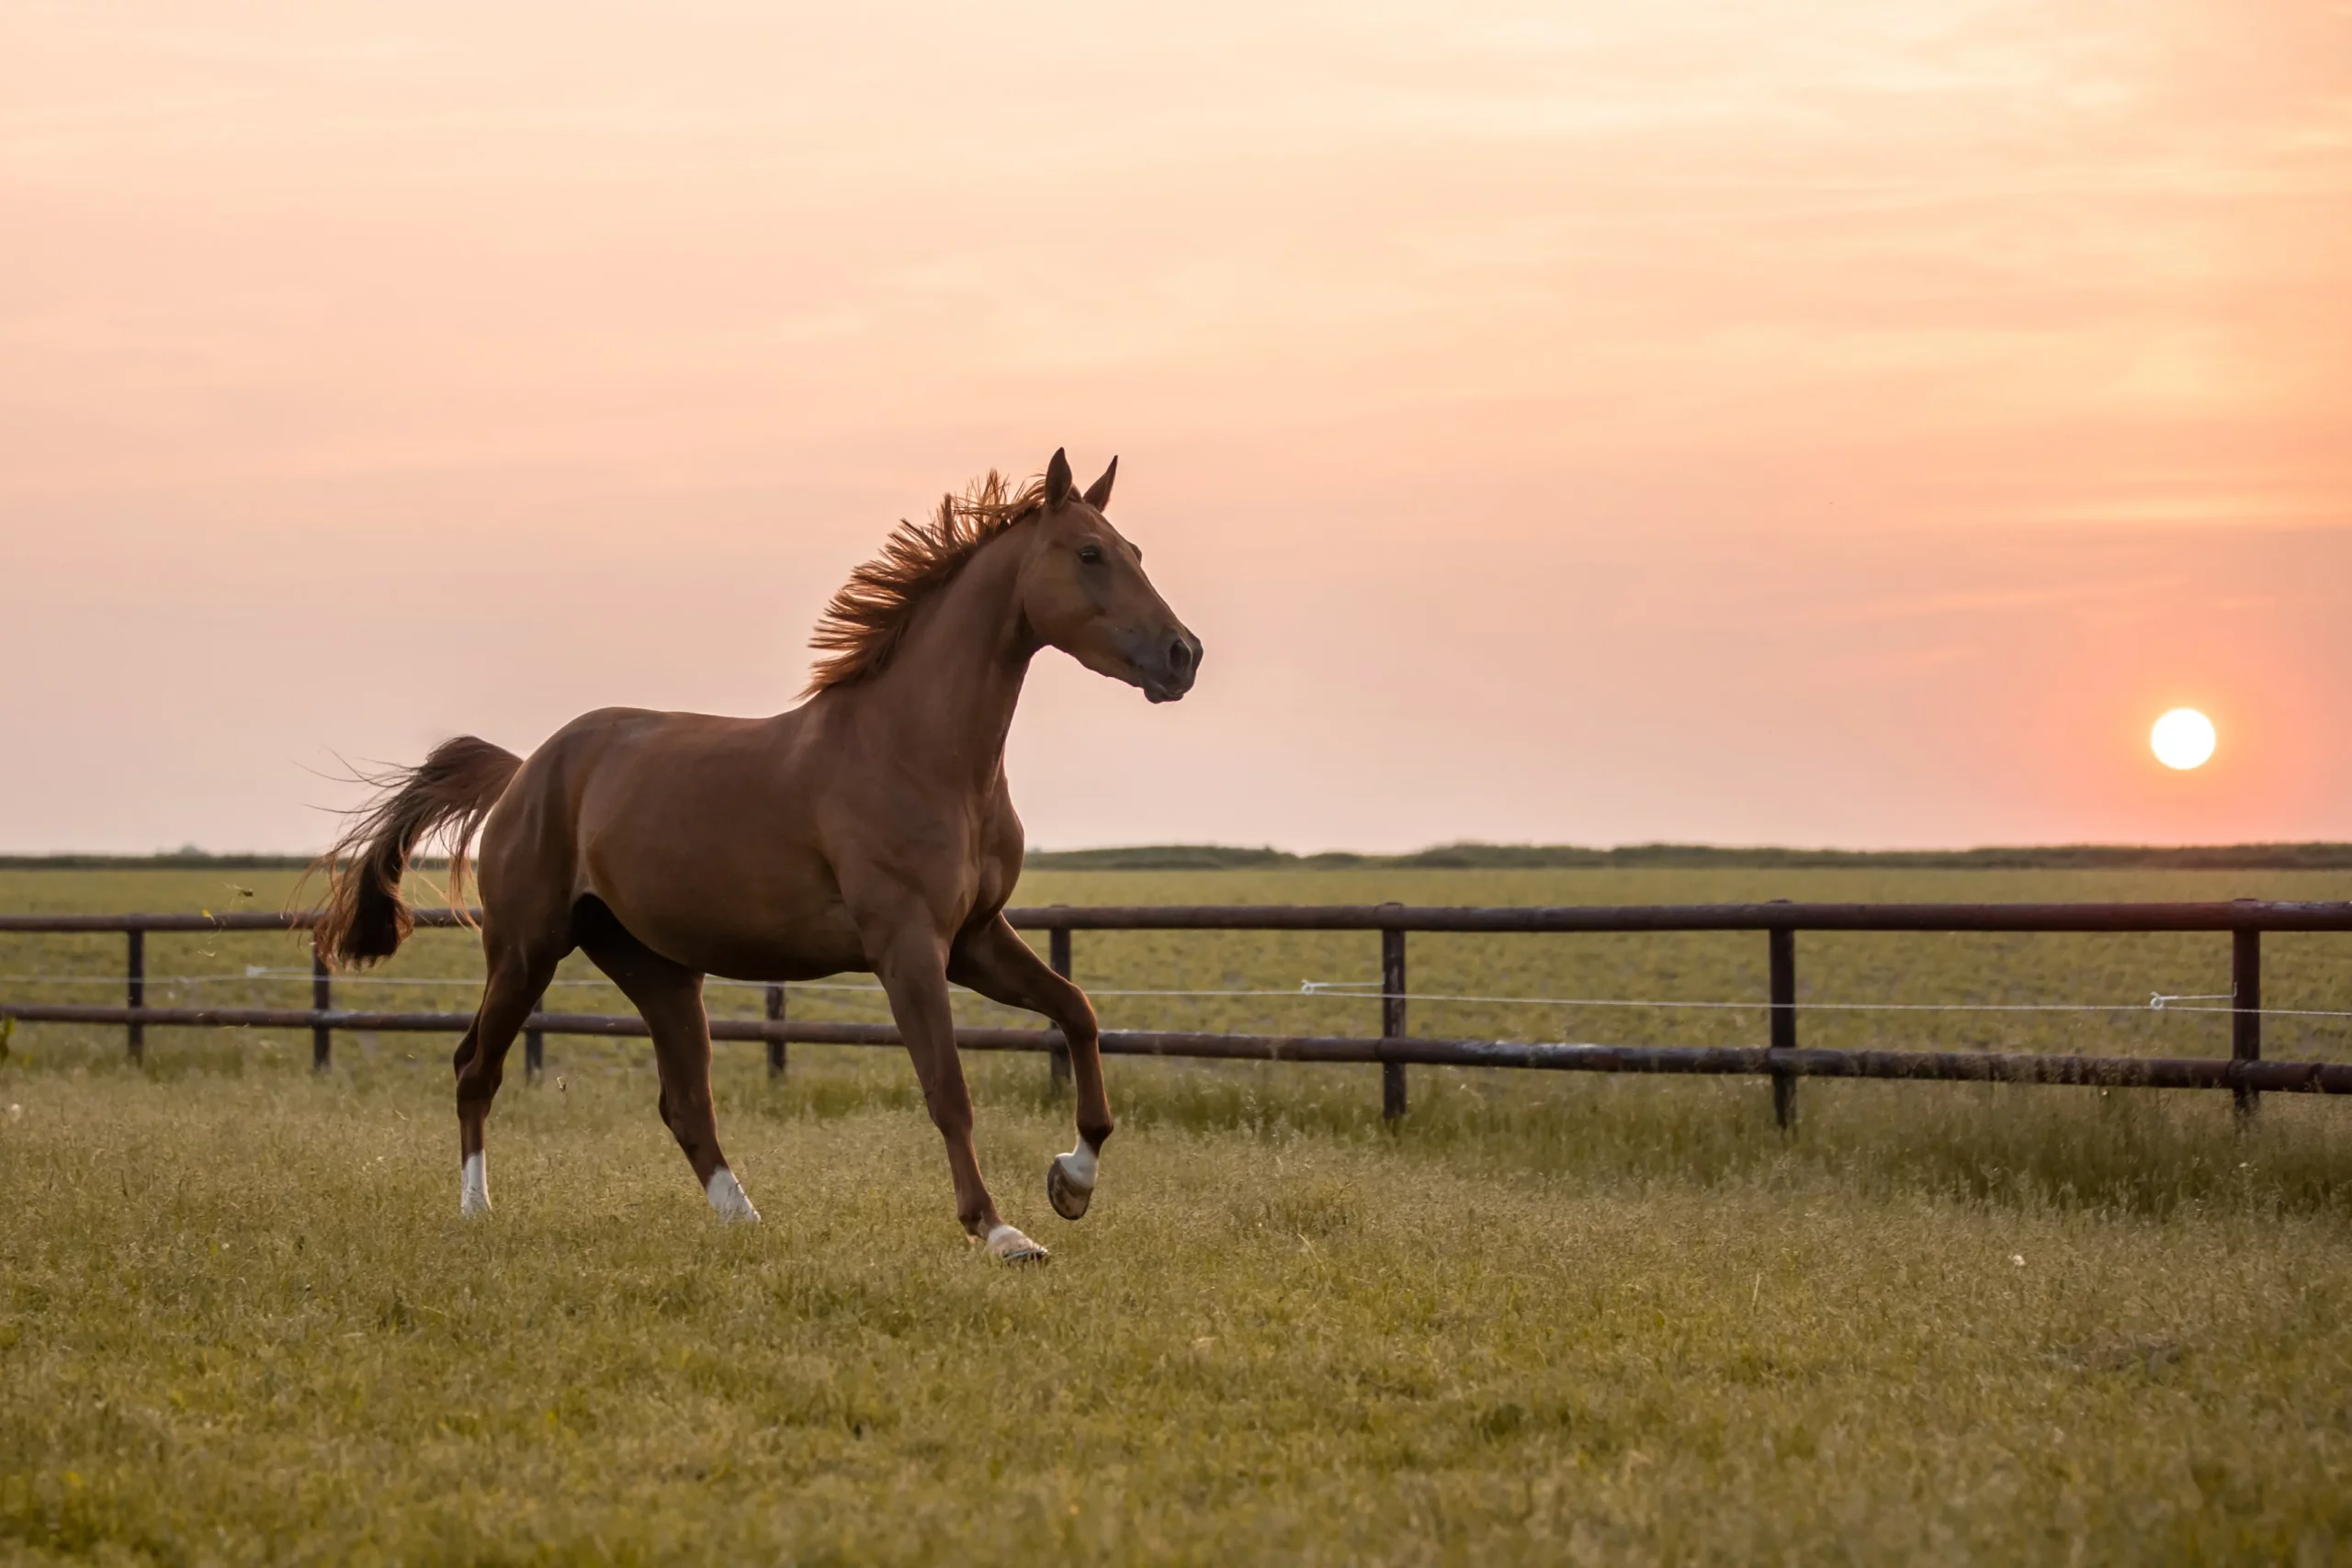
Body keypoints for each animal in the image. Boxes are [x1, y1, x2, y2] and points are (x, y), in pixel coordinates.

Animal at [308, 450, 1201, 1262]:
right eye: (1089, 553)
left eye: (1134, 550)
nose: (1182, 654)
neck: (921, 751)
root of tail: (526, 769)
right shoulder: (908, 945)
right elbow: (948, 1087)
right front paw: (1001, 1229)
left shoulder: (975, 938)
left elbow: (1078, 1012)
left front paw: (1072, 1181)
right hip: (526, 948)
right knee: (475, 1068)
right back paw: (478, 1210)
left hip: (657, 967)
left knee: (684, 1101)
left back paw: (743, 1217)